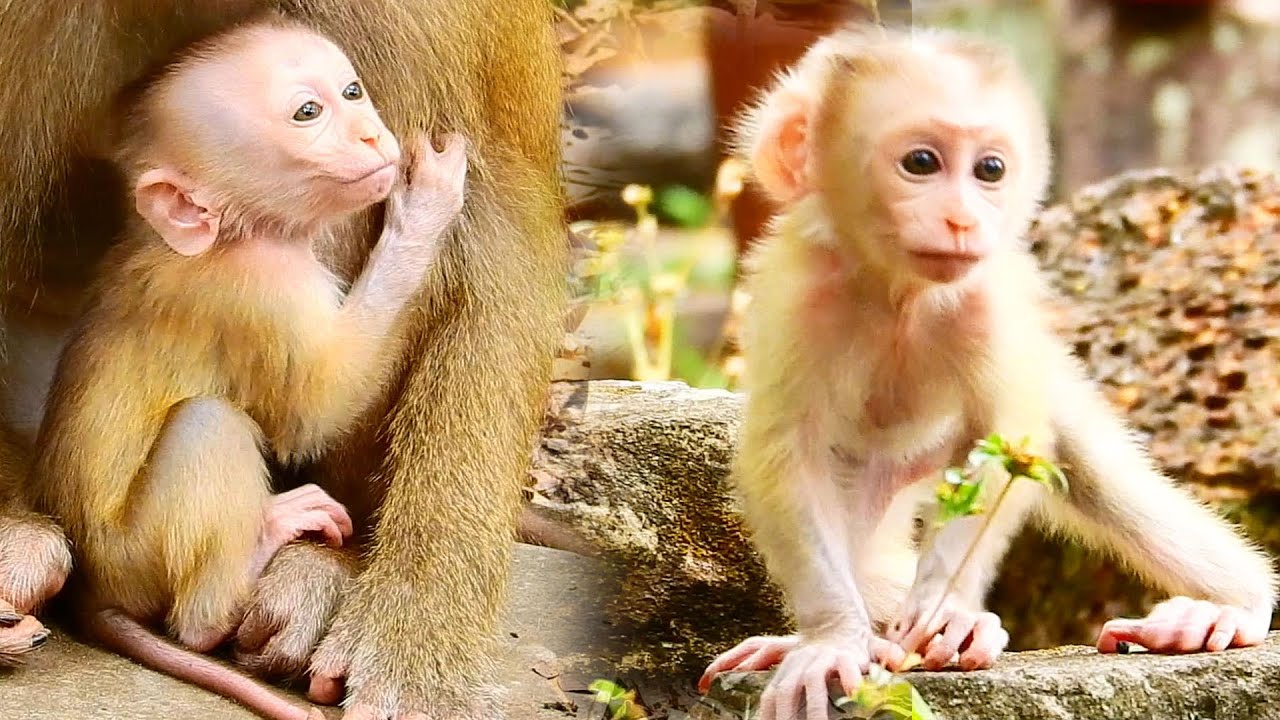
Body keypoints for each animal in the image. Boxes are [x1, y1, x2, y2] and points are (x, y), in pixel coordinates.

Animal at [0, 1, 566, 718]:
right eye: (306, 113)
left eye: (351, 94)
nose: (371, 139)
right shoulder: (263, 280)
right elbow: (315, 402)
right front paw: (423, 214)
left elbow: (505, 216)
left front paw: (416, 635)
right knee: (208, 429)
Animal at [696, 26, 1278, 720]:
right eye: (921, 163)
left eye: (990, 170)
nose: (964, 219)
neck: (899, 291)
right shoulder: (797, 294)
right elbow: (788, 456)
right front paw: (832, 640)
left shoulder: (987, 303)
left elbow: (1007, 440)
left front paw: (946, 610)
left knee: (1094, 468)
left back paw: (1223, 607)